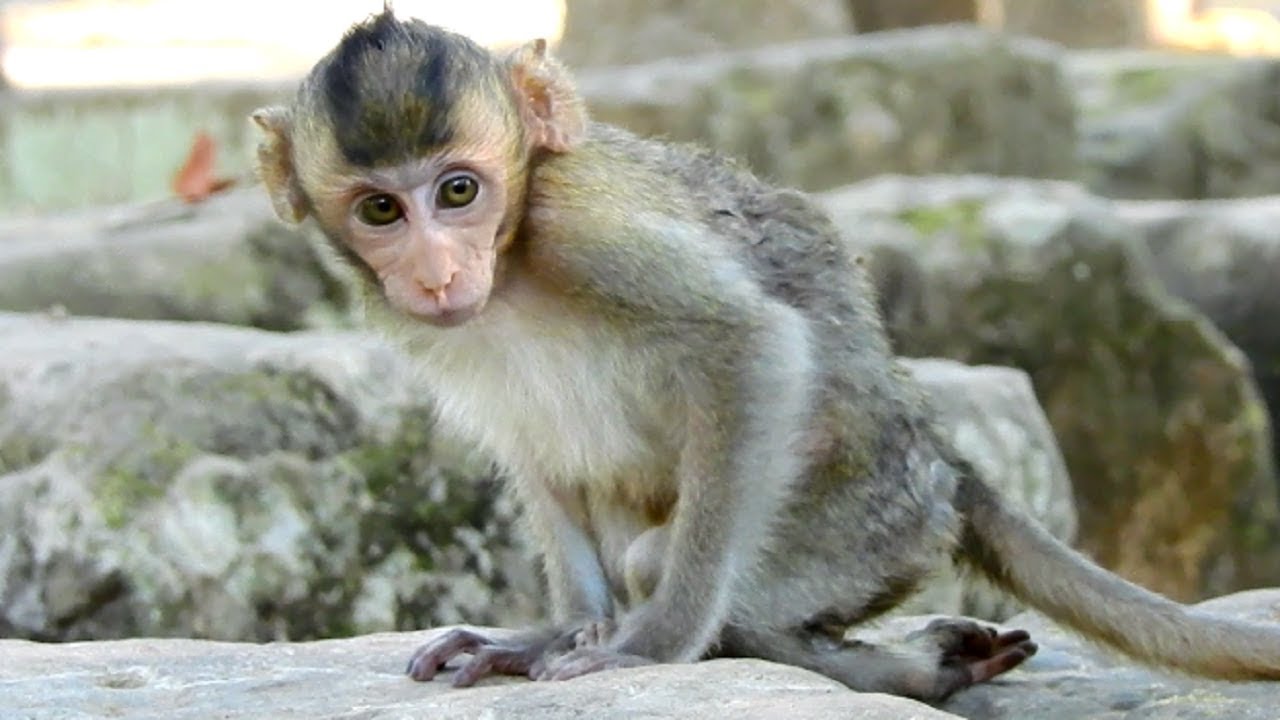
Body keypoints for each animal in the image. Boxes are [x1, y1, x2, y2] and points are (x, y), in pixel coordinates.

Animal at [251, 9, 1280, 703]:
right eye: (382, 210)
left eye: (459, 190)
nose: (434, 270)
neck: (509, 263)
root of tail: (945, 462)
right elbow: (538, 458)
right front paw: (549, 633)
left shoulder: (583, 227)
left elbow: (750, 346)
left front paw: (646, 645)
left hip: (869, 525)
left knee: (673, 551)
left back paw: (903, 671)